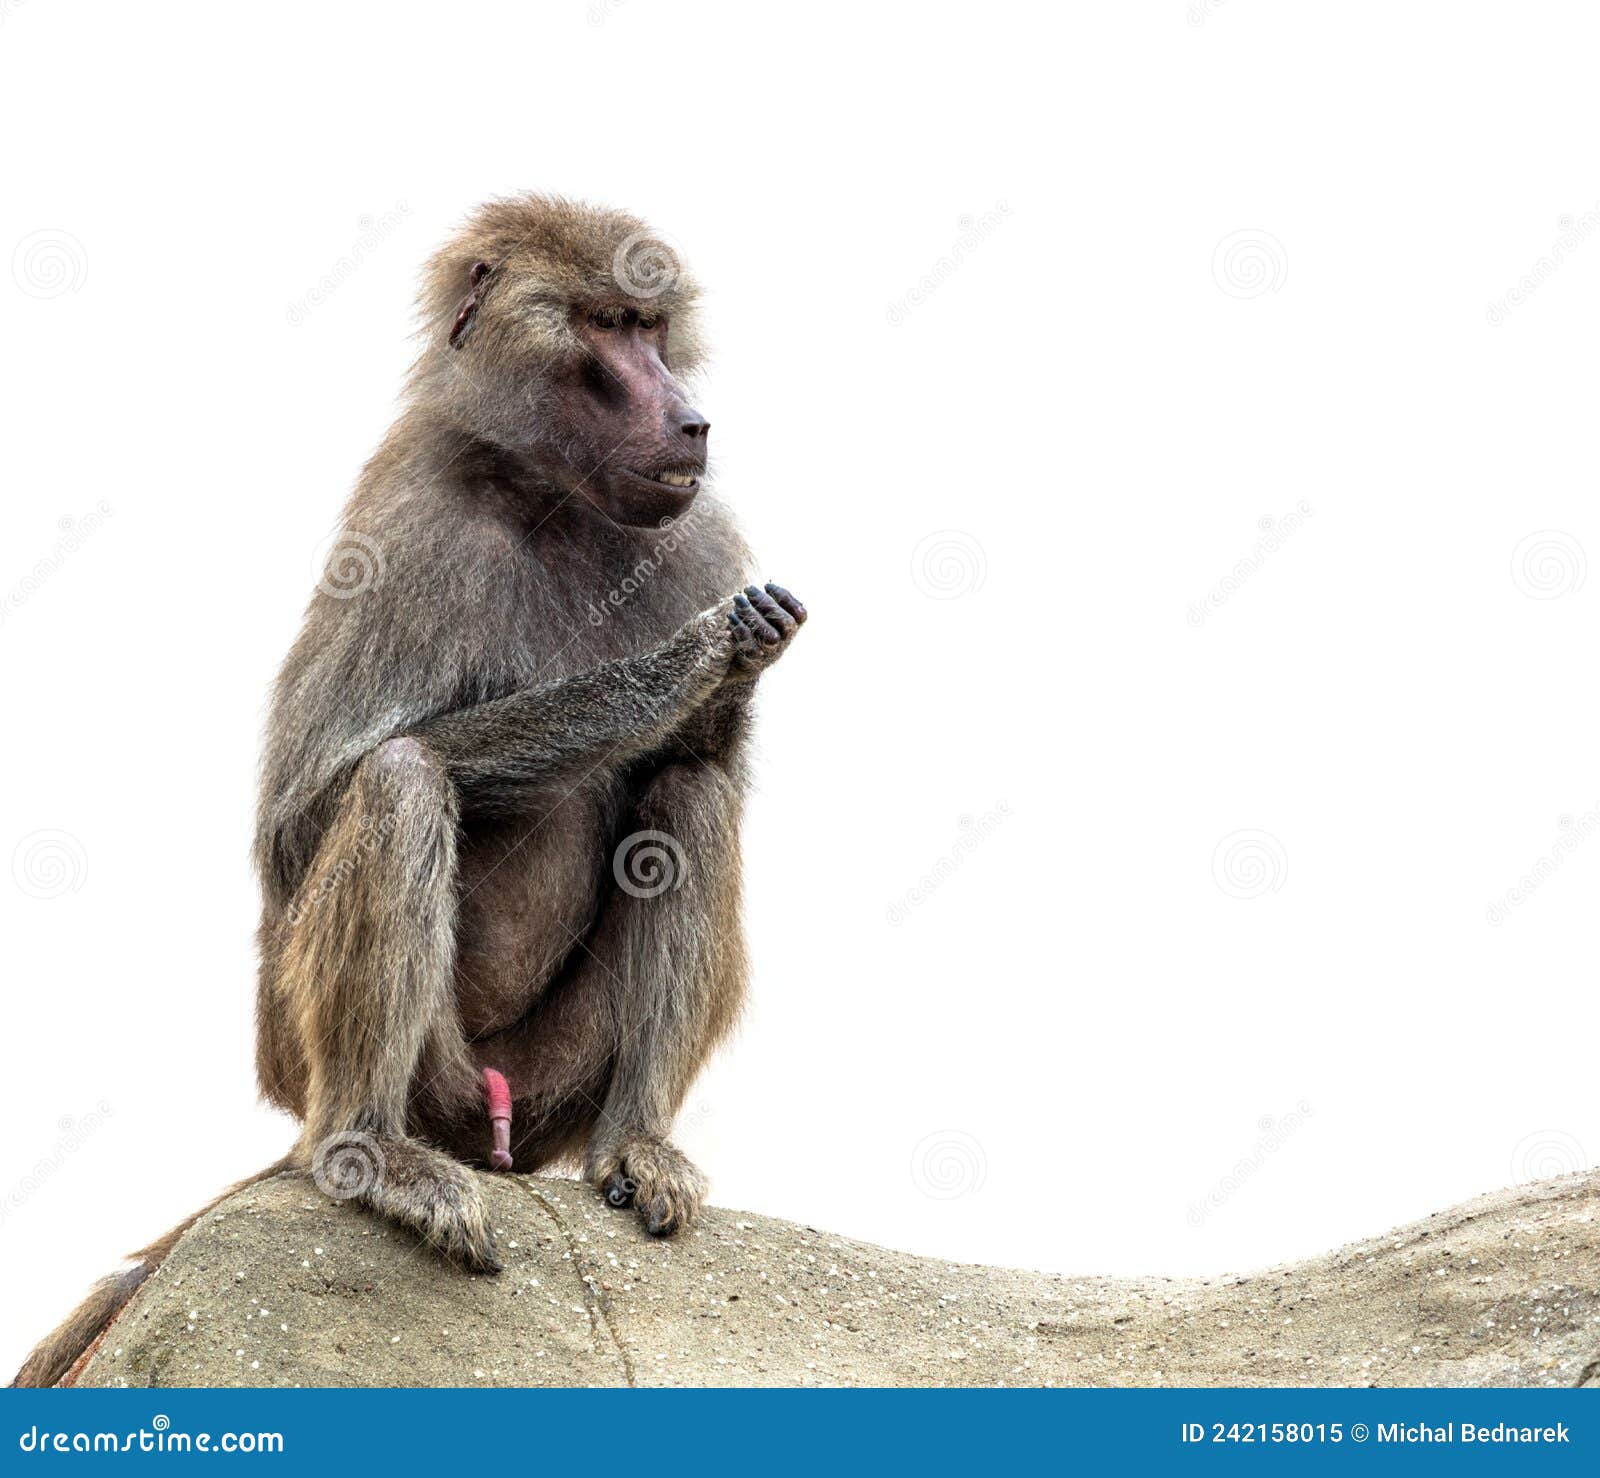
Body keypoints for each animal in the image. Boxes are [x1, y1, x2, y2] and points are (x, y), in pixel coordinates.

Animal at [12, 194, 805, 1387]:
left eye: (652, 326)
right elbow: (304, 815)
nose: (691, 423)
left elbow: (705, 772)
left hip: (545, 1089)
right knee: (398, 780)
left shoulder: (695, 528)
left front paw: (735, 672)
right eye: (602, 327)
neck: (549, 495)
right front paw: (692, 662)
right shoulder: (409, 516)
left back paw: (635, 1147)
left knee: (689, 798)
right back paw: (368, 1151)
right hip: (323, 1055)